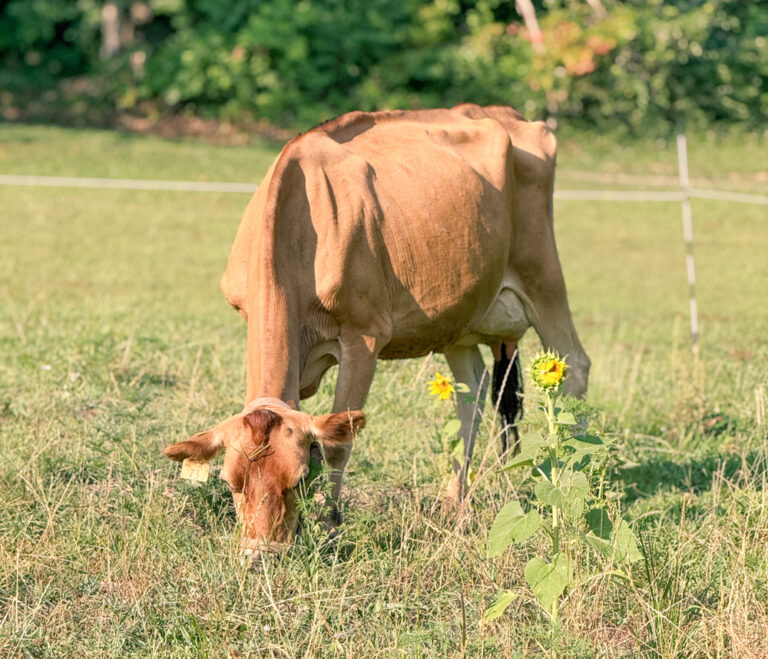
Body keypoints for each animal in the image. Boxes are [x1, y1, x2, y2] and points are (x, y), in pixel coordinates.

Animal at [164, 104, 590, 556]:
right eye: (231, 482)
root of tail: (506, 114)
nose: (259, 556)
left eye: (297, 479)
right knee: (471, 396)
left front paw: (330, 526)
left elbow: (339, 444)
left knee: (576, 367)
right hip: (460, 315)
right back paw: (454, 502)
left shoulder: (363, 337)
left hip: (543, 273)